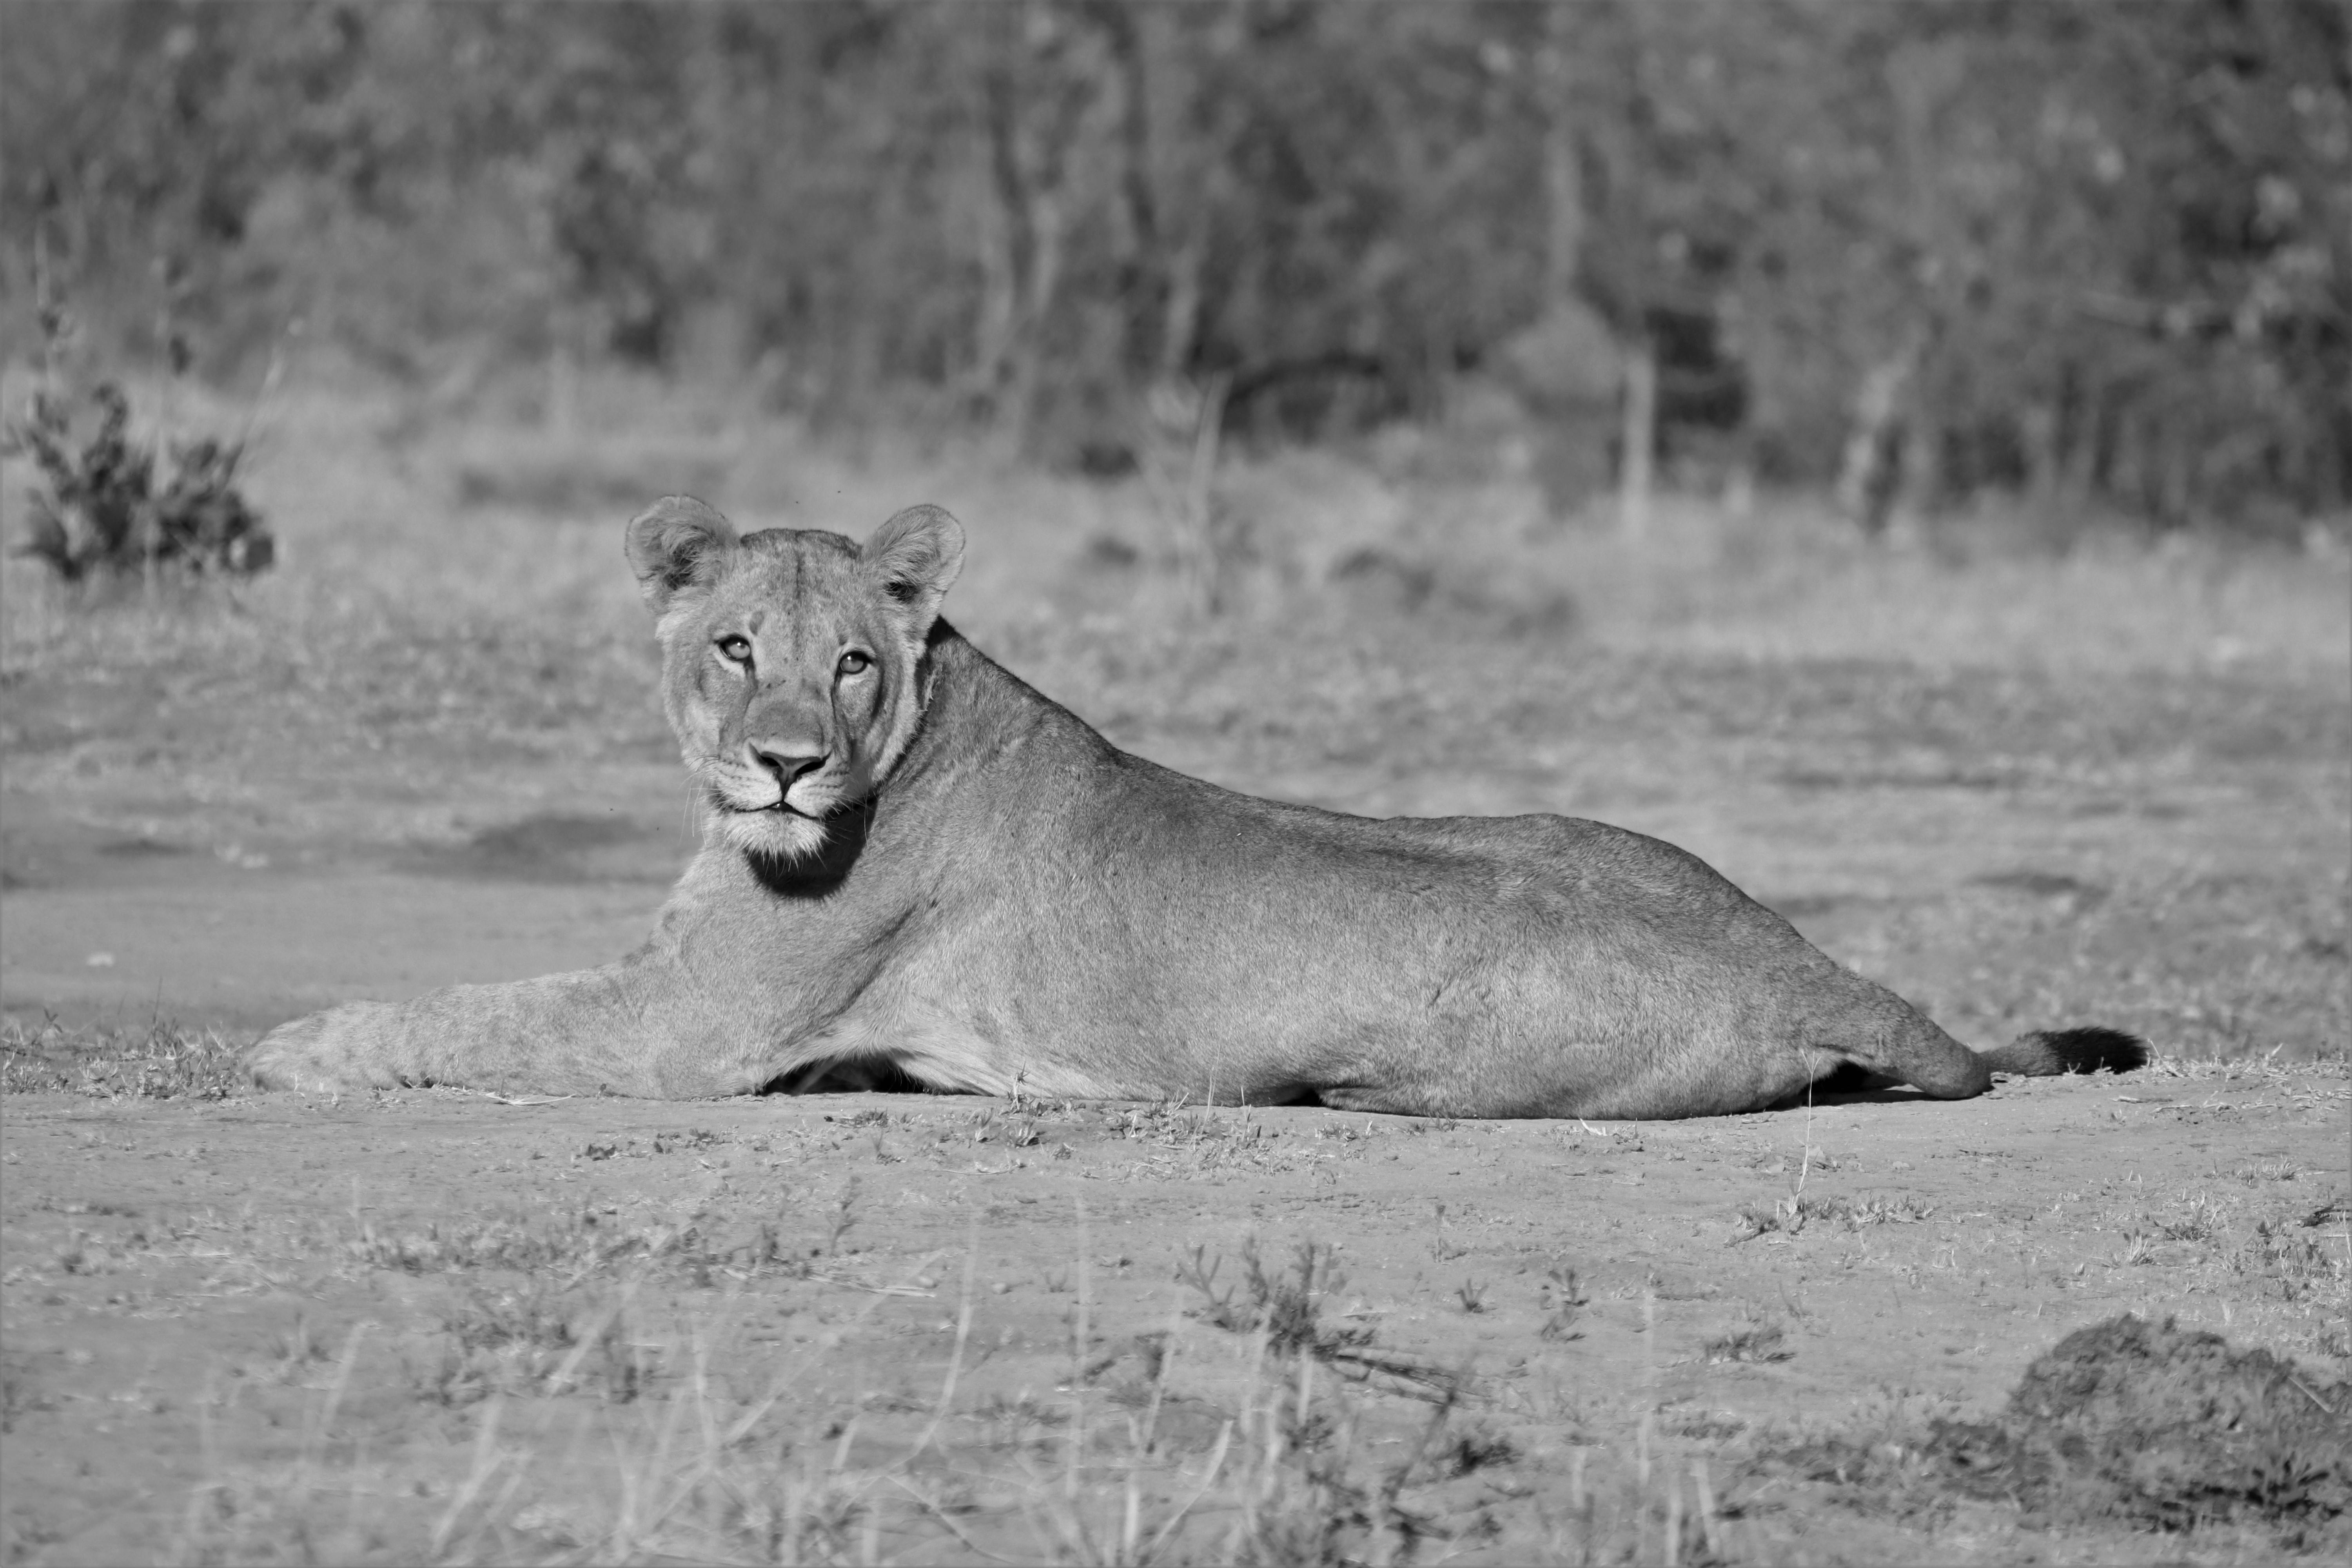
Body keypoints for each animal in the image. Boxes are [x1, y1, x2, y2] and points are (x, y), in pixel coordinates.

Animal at [246, 497, 2147, 1118]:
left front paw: (287, 1044)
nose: (786, 759)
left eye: (851, 662)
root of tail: (1819, 965)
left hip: (1422, 1063)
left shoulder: (681, 1026)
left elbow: (466, 1012)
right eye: (734, 648)